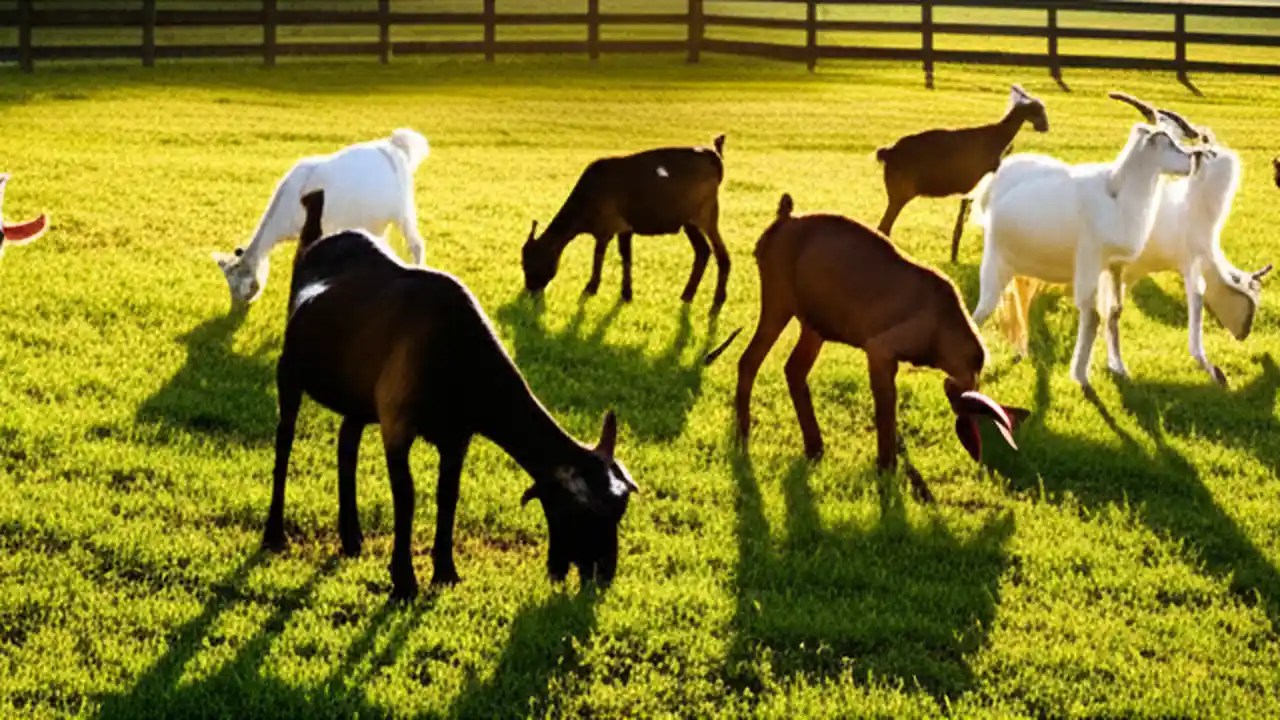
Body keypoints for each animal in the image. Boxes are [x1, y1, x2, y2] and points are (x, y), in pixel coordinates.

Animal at [265, 189, 637, 600]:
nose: (604, 575)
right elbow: (407, 498)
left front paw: (445, 571)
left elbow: (448, 496)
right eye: (584, 512)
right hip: (289, 372)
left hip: (359, 398)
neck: (456, 350)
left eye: (621, 507)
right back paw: (274, 534)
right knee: (284, 441)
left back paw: (351, 539)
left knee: (346, 443)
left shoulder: (457, 435)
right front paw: (404, 580)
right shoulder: (397, 422)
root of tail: (315, 241)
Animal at [522, 135, 729, 308]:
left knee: (722, 255)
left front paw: (590, 288)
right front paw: (626, 294)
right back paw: (687, 295)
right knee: (703, 251)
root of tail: (713, 154)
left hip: (707, 213)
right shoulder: (625, 228)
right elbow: (626, 256)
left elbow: (599, 255)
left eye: (530, 264)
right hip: (688, 221)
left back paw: (717, 302)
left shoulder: (606, 228)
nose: (529, 290)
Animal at [734, 193, 1026, 502]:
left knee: (793, 369)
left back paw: (814, 446)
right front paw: (887, 469)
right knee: (749, 360)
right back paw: (743, 435)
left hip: (815, 324)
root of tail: (783, 218)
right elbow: (886, 411)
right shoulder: (880, 350)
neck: (946, 326)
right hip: (778, 302)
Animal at [875, 84, 1049, 263]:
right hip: (901, 193)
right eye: (1039, 110)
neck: (997, 137)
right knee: (884, 227)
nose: (1044, 127)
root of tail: (889, 153)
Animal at [970, 96, 1200, 388]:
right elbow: (1091, 317)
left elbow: (1114, 312)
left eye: (1178, 136)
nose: (1195, 158)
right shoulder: (1089, 259)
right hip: (995, 259)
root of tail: (993, 184)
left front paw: (1119, 368)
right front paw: (1080, 376)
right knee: (982, 309)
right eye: (1166, 141)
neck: (1117, 195)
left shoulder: (1114, 265)